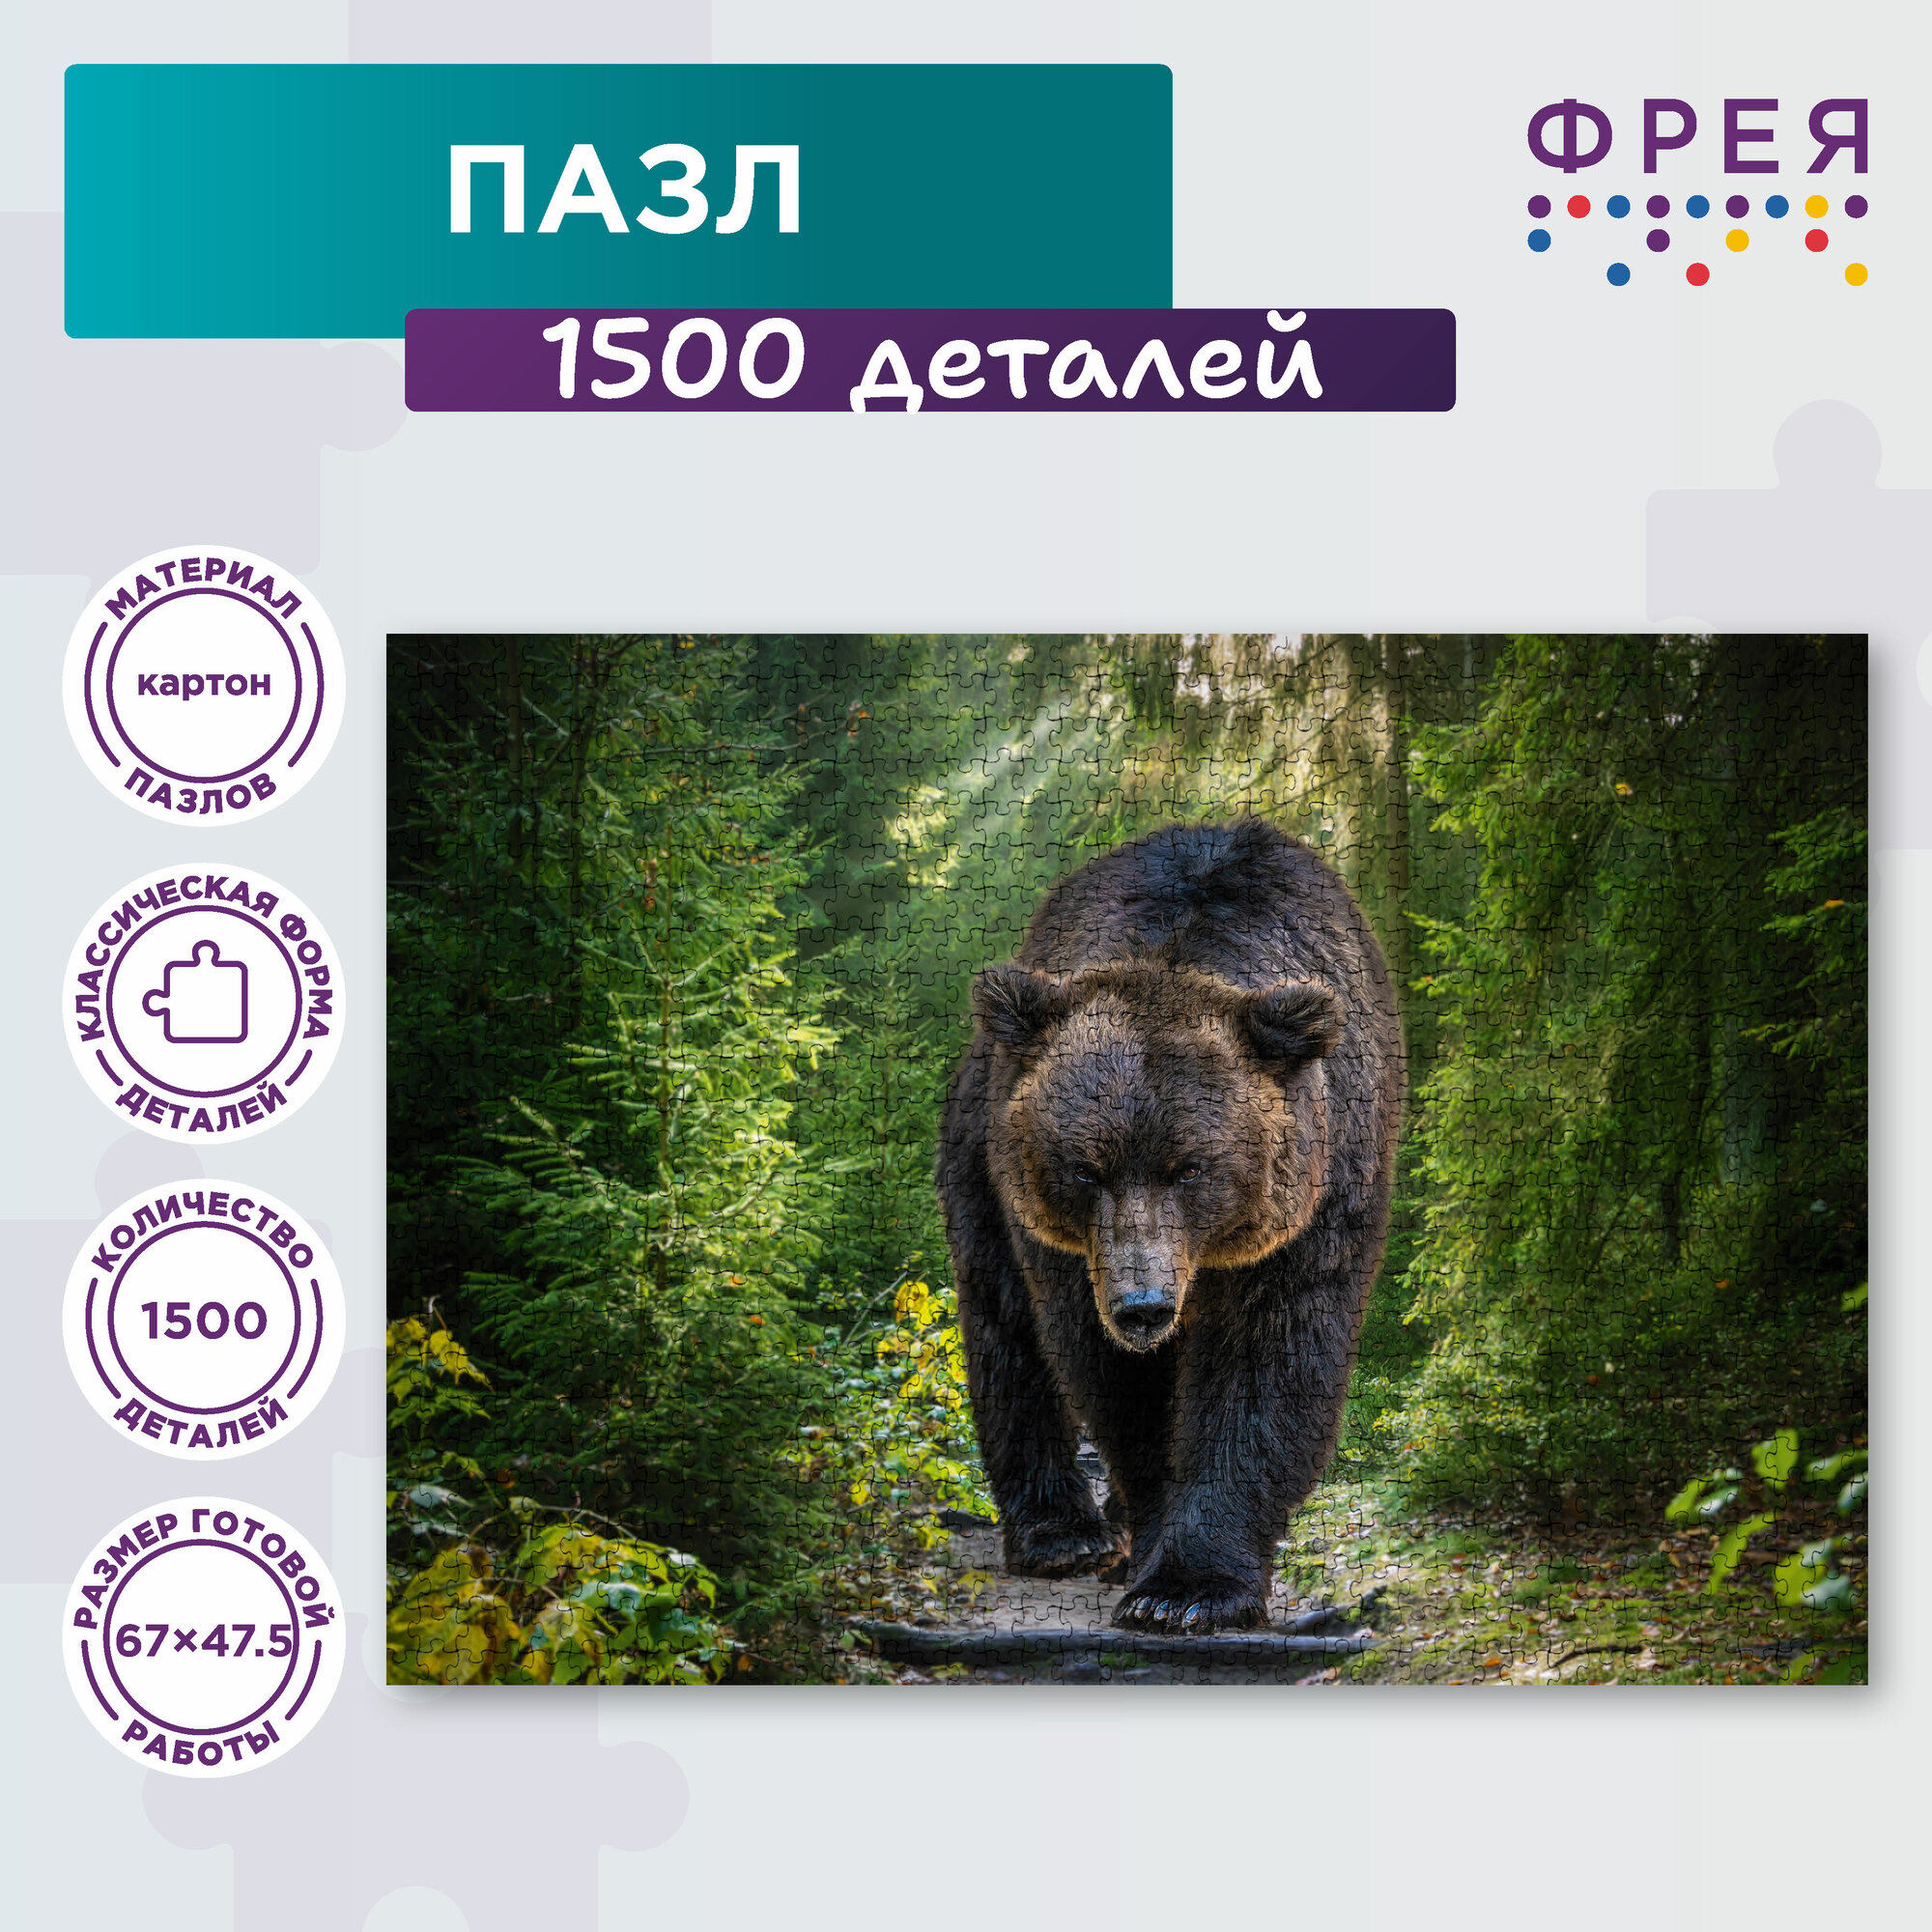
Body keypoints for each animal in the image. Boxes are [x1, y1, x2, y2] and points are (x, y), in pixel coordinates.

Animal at [935, 817, 1404, 1633]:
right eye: (1085, 1169)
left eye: (1191, 1167)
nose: (1144, 1307)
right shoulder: (1074, 1247)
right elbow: (1114, 1379)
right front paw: (1158, 1553)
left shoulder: (1314, 1204)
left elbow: (1266, 1365)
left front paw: (1191, 1587)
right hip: (982, 1160)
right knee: (1006, 1327)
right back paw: (1062, 1533)